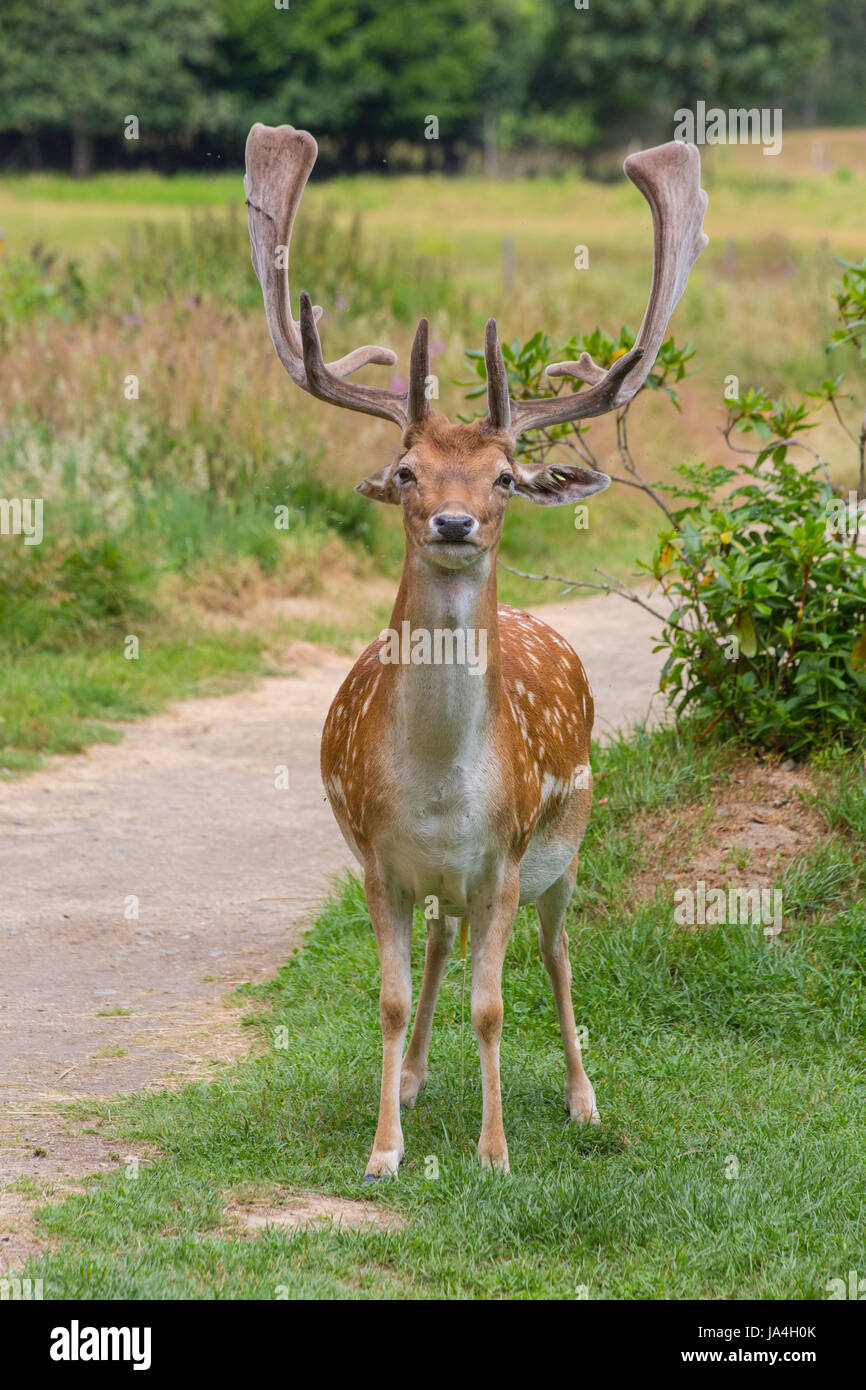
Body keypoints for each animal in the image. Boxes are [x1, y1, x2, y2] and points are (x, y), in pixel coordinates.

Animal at [245, 122, 708, 1178]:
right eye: (409, 468)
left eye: (503, 474)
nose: (454, 521)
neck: (438, 787)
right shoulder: (379, 862)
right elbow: (391, 997)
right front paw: (384, 1147)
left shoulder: (503, 856)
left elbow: (495, 1007)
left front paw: (496, 1153)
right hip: (445, 884)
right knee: (442, 949)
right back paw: (418, 1080)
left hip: (568, 840)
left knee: (557, 955)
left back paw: (583, 1099)